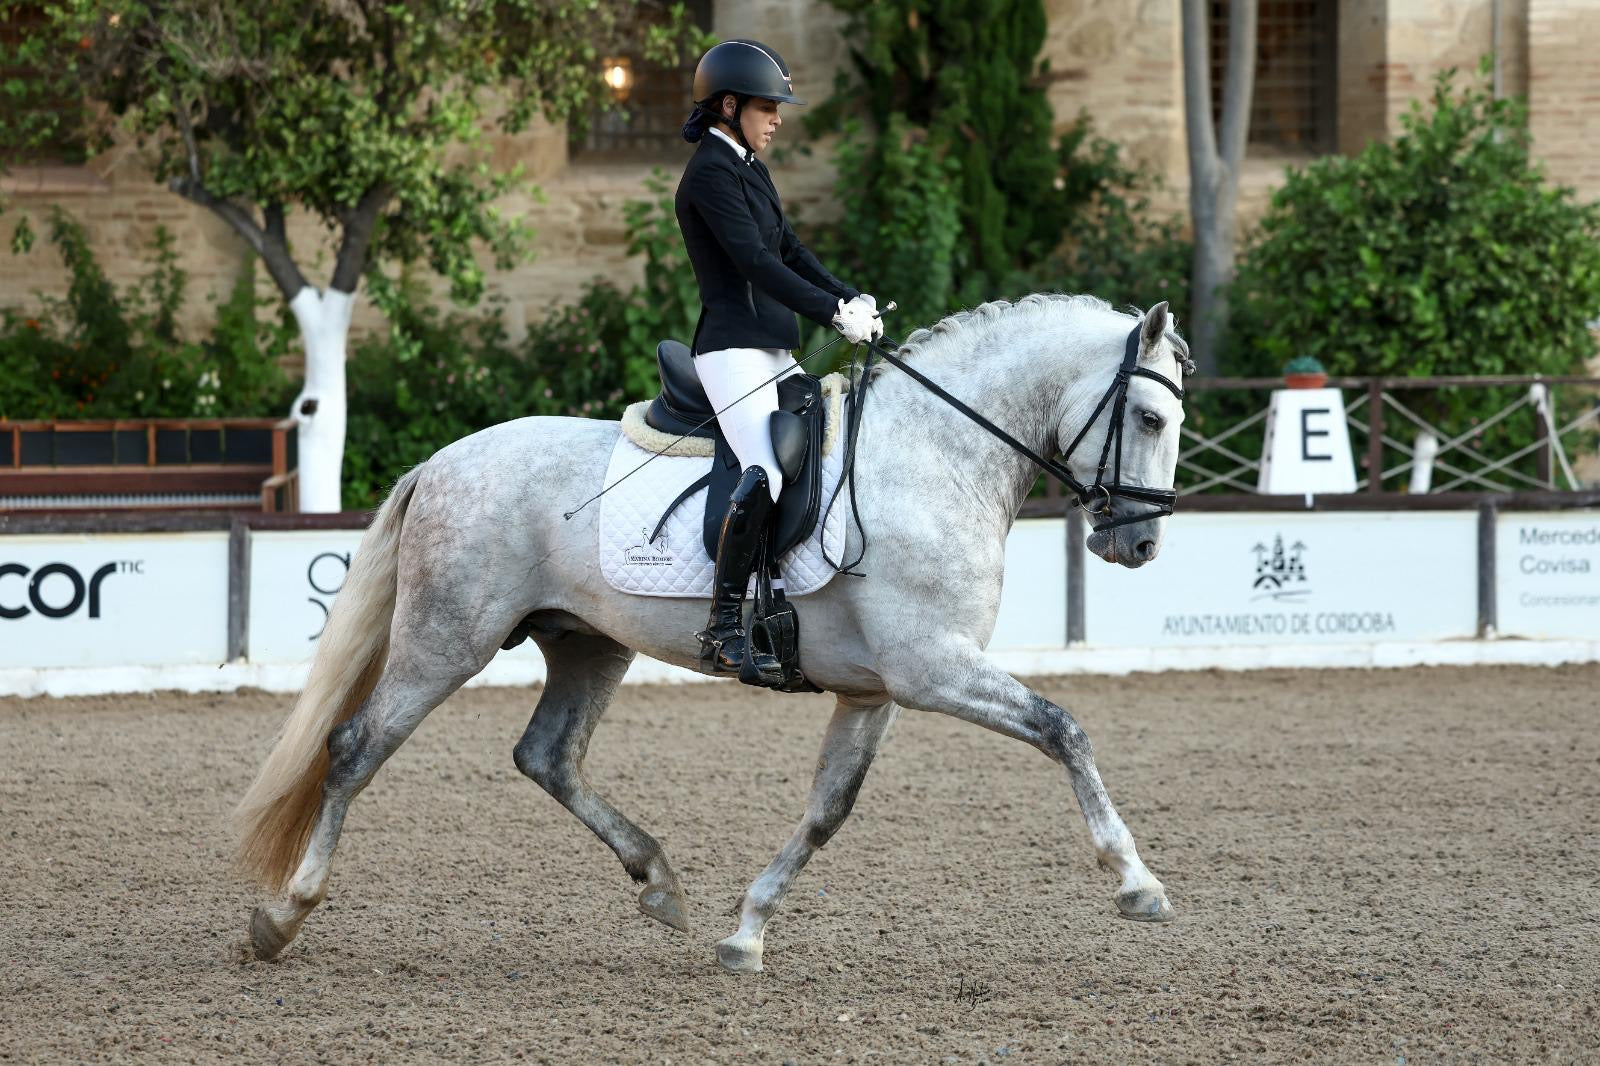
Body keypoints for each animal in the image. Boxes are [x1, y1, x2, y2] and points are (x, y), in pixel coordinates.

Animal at [234, 293, 1192, 973]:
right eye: (1150, 419)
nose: (1139, 545)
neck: (937, 456)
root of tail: (440, 461)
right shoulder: (932, 669)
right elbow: (1064, 729)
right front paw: (1137, 882)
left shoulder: (876, 690)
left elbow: (826, 811)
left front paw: (747, 932)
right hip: (447, 639)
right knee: (355, 747)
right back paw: (282, 917)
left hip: (589, 642)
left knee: (547, 756)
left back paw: (659, 883)